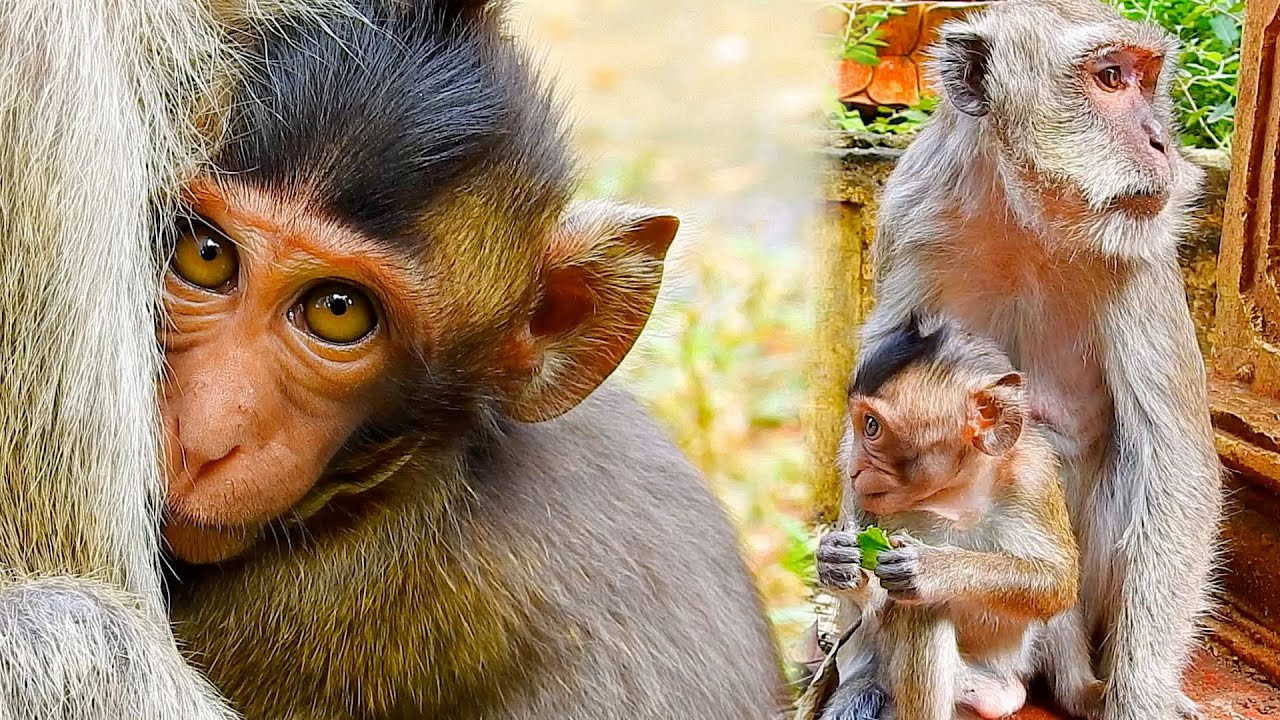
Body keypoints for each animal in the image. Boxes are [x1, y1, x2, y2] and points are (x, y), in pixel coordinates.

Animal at [815, 315, 1101, 720]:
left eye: (871, 426)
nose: (852, 468)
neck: (956, 495)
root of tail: (1002, 690)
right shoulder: (864, 503)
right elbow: (880, 609)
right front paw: (837, 561)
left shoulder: (1033, 475)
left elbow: (1058, 581)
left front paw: (932, 567)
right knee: (921, 612)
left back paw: (1082, 694)